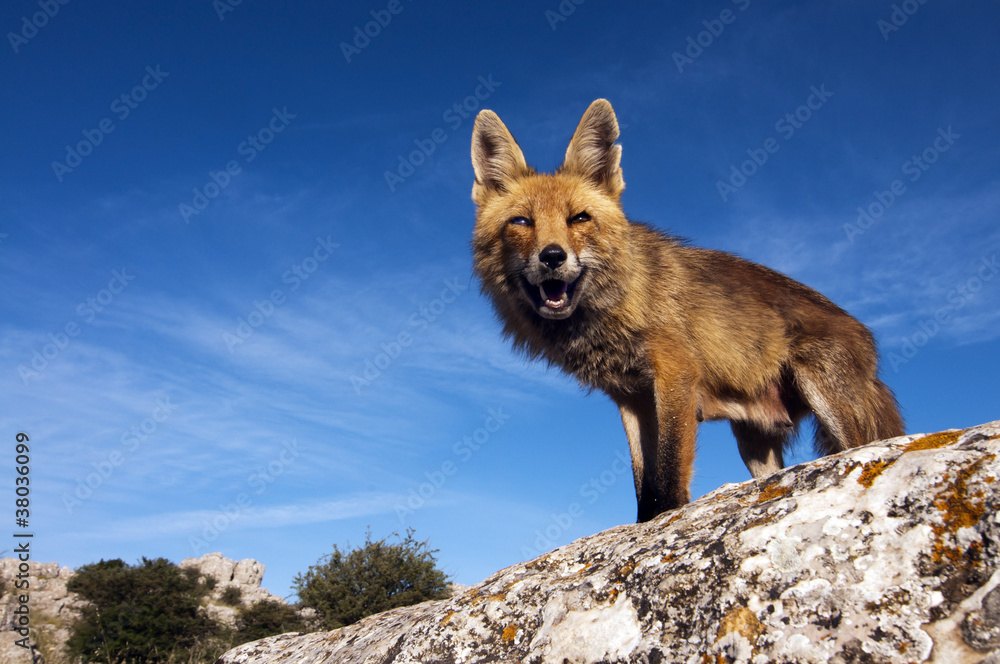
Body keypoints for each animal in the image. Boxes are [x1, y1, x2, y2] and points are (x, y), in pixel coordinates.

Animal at [470, 99, 904, 523]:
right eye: (521, 221)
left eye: (579, 218)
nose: (552, 257)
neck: (621, 304)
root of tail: (867, 337)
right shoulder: (632, 398)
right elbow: (644, 486)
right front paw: (644, 527)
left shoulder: (675, 374)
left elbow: (668, 478)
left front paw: (668, 521)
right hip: (753, 443)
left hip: (831, 406)